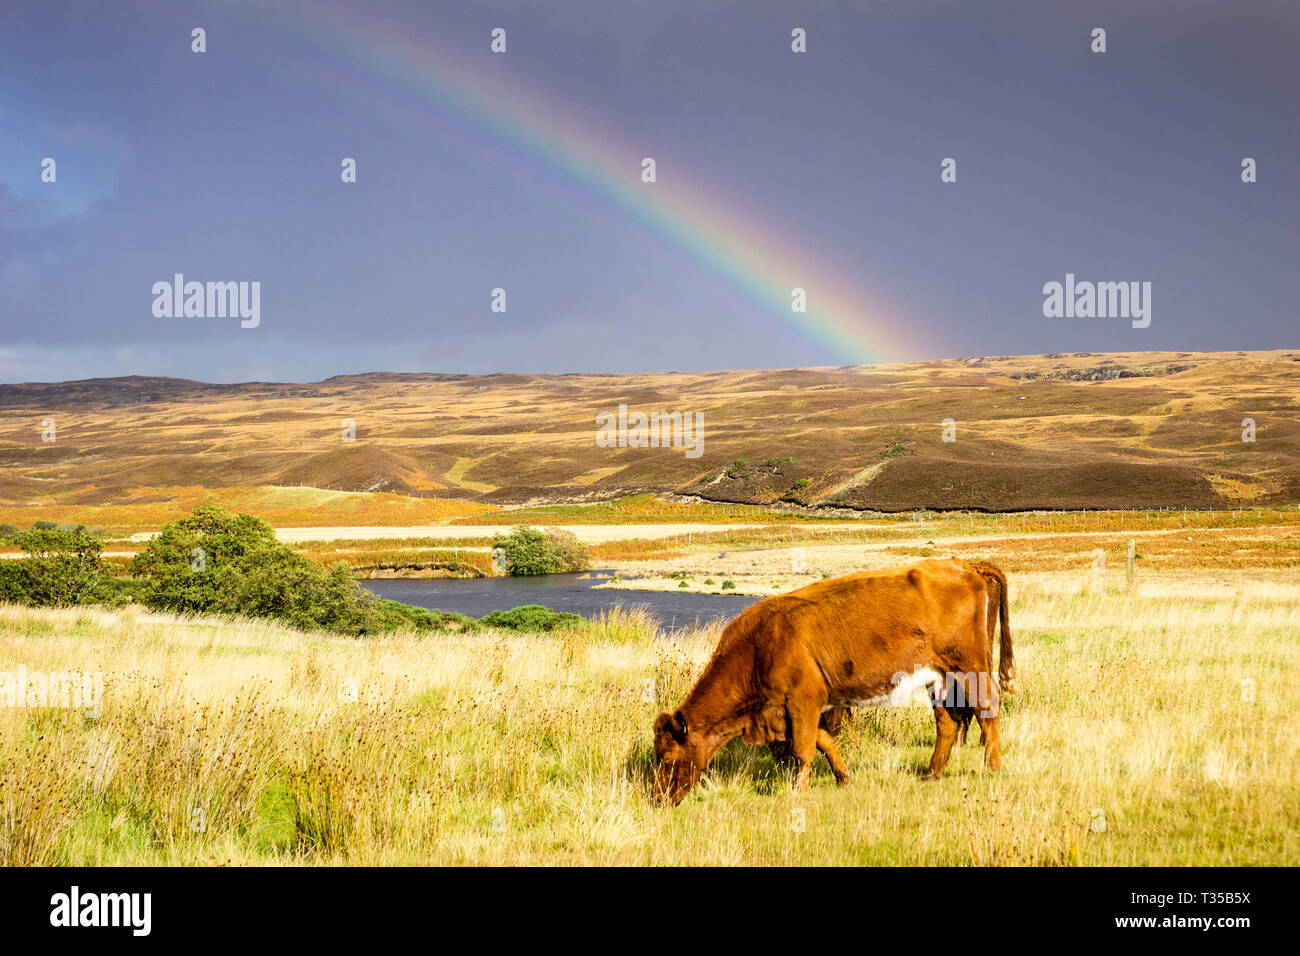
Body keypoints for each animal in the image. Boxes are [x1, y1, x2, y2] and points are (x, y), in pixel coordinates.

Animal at [653, 557, 1002, 805]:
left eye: (667, 757)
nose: (658, 798)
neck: (761, 645)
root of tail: (965, 566)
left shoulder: (802, 701)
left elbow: (803, 749)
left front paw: (799, 791)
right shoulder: (802, 708)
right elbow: (822, 740)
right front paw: (844, 777)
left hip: (970, 668)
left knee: (988, 711)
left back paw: (992, 767)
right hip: (937, 678)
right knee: (947, 723)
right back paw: (932, 774)